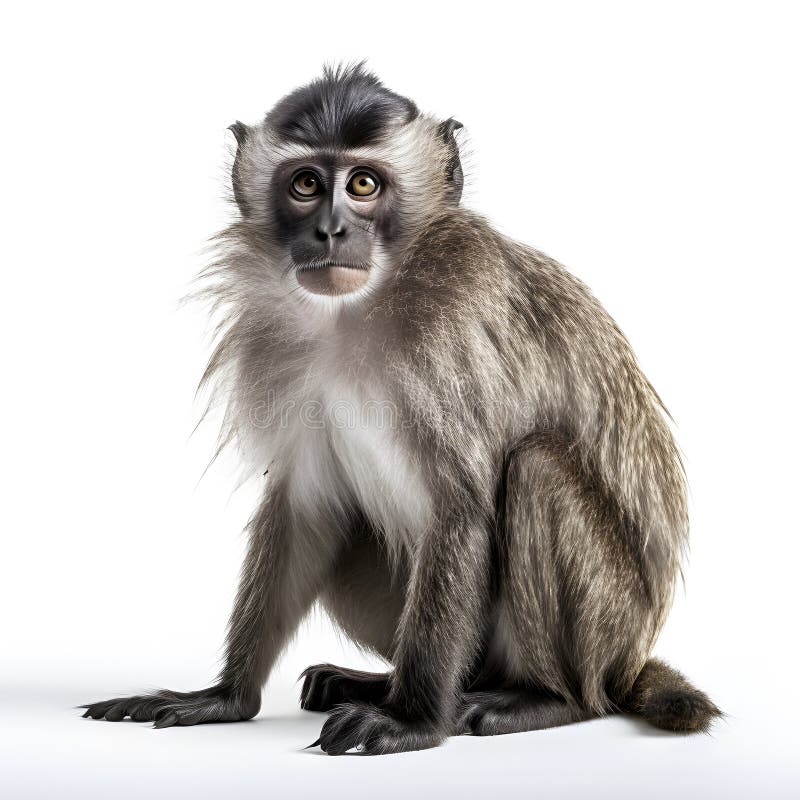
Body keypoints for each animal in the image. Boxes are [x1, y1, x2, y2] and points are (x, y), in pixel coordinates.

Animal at [82, 63, 721, 754]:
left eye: (363, 184)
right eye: (306, 184)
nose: (330, 230)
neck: (356, 315)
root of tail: (628, 659)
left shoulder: (453, 329)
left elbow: (461, 508)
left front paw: (413, 722)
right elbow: (304, 506)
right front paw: (225, 698)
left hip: (607, 629)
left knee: (538, 470)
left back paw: (538, 698)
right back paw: (374, 683)